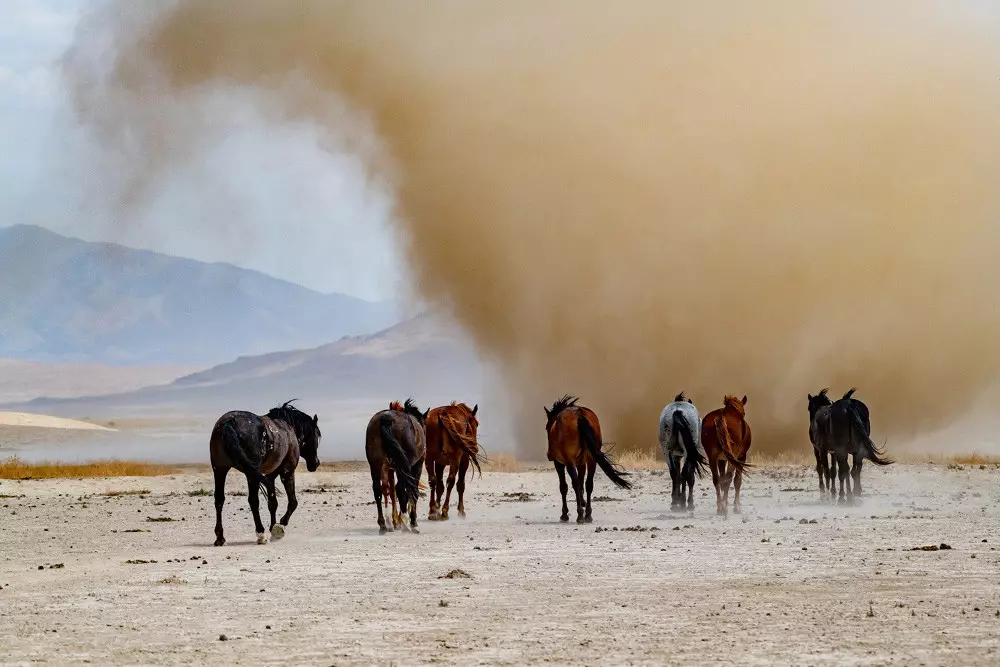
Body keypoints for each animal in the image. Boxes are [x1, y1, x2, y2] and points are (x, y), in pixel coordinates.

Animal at [208, 402, 320, 548]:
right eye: (317, 435)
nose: (315, 463)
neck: (287, 426)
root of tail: (229, 422)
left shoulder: (269, 476)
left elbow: (272, 503)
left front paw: (273, 528)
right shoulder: (287, 472)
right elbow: (292, 502)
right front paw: (280, 526)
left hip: (220, 469)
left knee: (219, 500)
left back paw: (220, 537)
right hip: (250, 474)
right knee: (253, 501)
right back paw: (260, 534)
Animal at [368, 400, 430, 536]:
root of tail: (386, 418)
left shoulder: (392, 468)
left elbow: (390, 491)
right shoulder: (417, 465)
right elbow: (413, 490)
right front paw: (413, 523)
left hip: (375, 464)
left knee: (378, 489)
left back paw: (383, 525)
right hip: (405, 464)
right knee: (401, 488)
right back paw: (405, 524)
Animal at [544, 394, 628, 524]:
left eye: (547, 427)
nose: (549, 455)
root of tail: (579, 414)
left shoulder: (559, 463)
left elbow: (564, 486)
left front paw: (564, 514)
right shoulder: (581, 463)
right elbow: (582, 482)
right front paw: (583, 504)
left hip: (569, 461)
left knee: (575, 483)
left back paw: (580, 515)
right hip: (592, 460)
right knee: (589, 484)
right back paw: (588, 514)